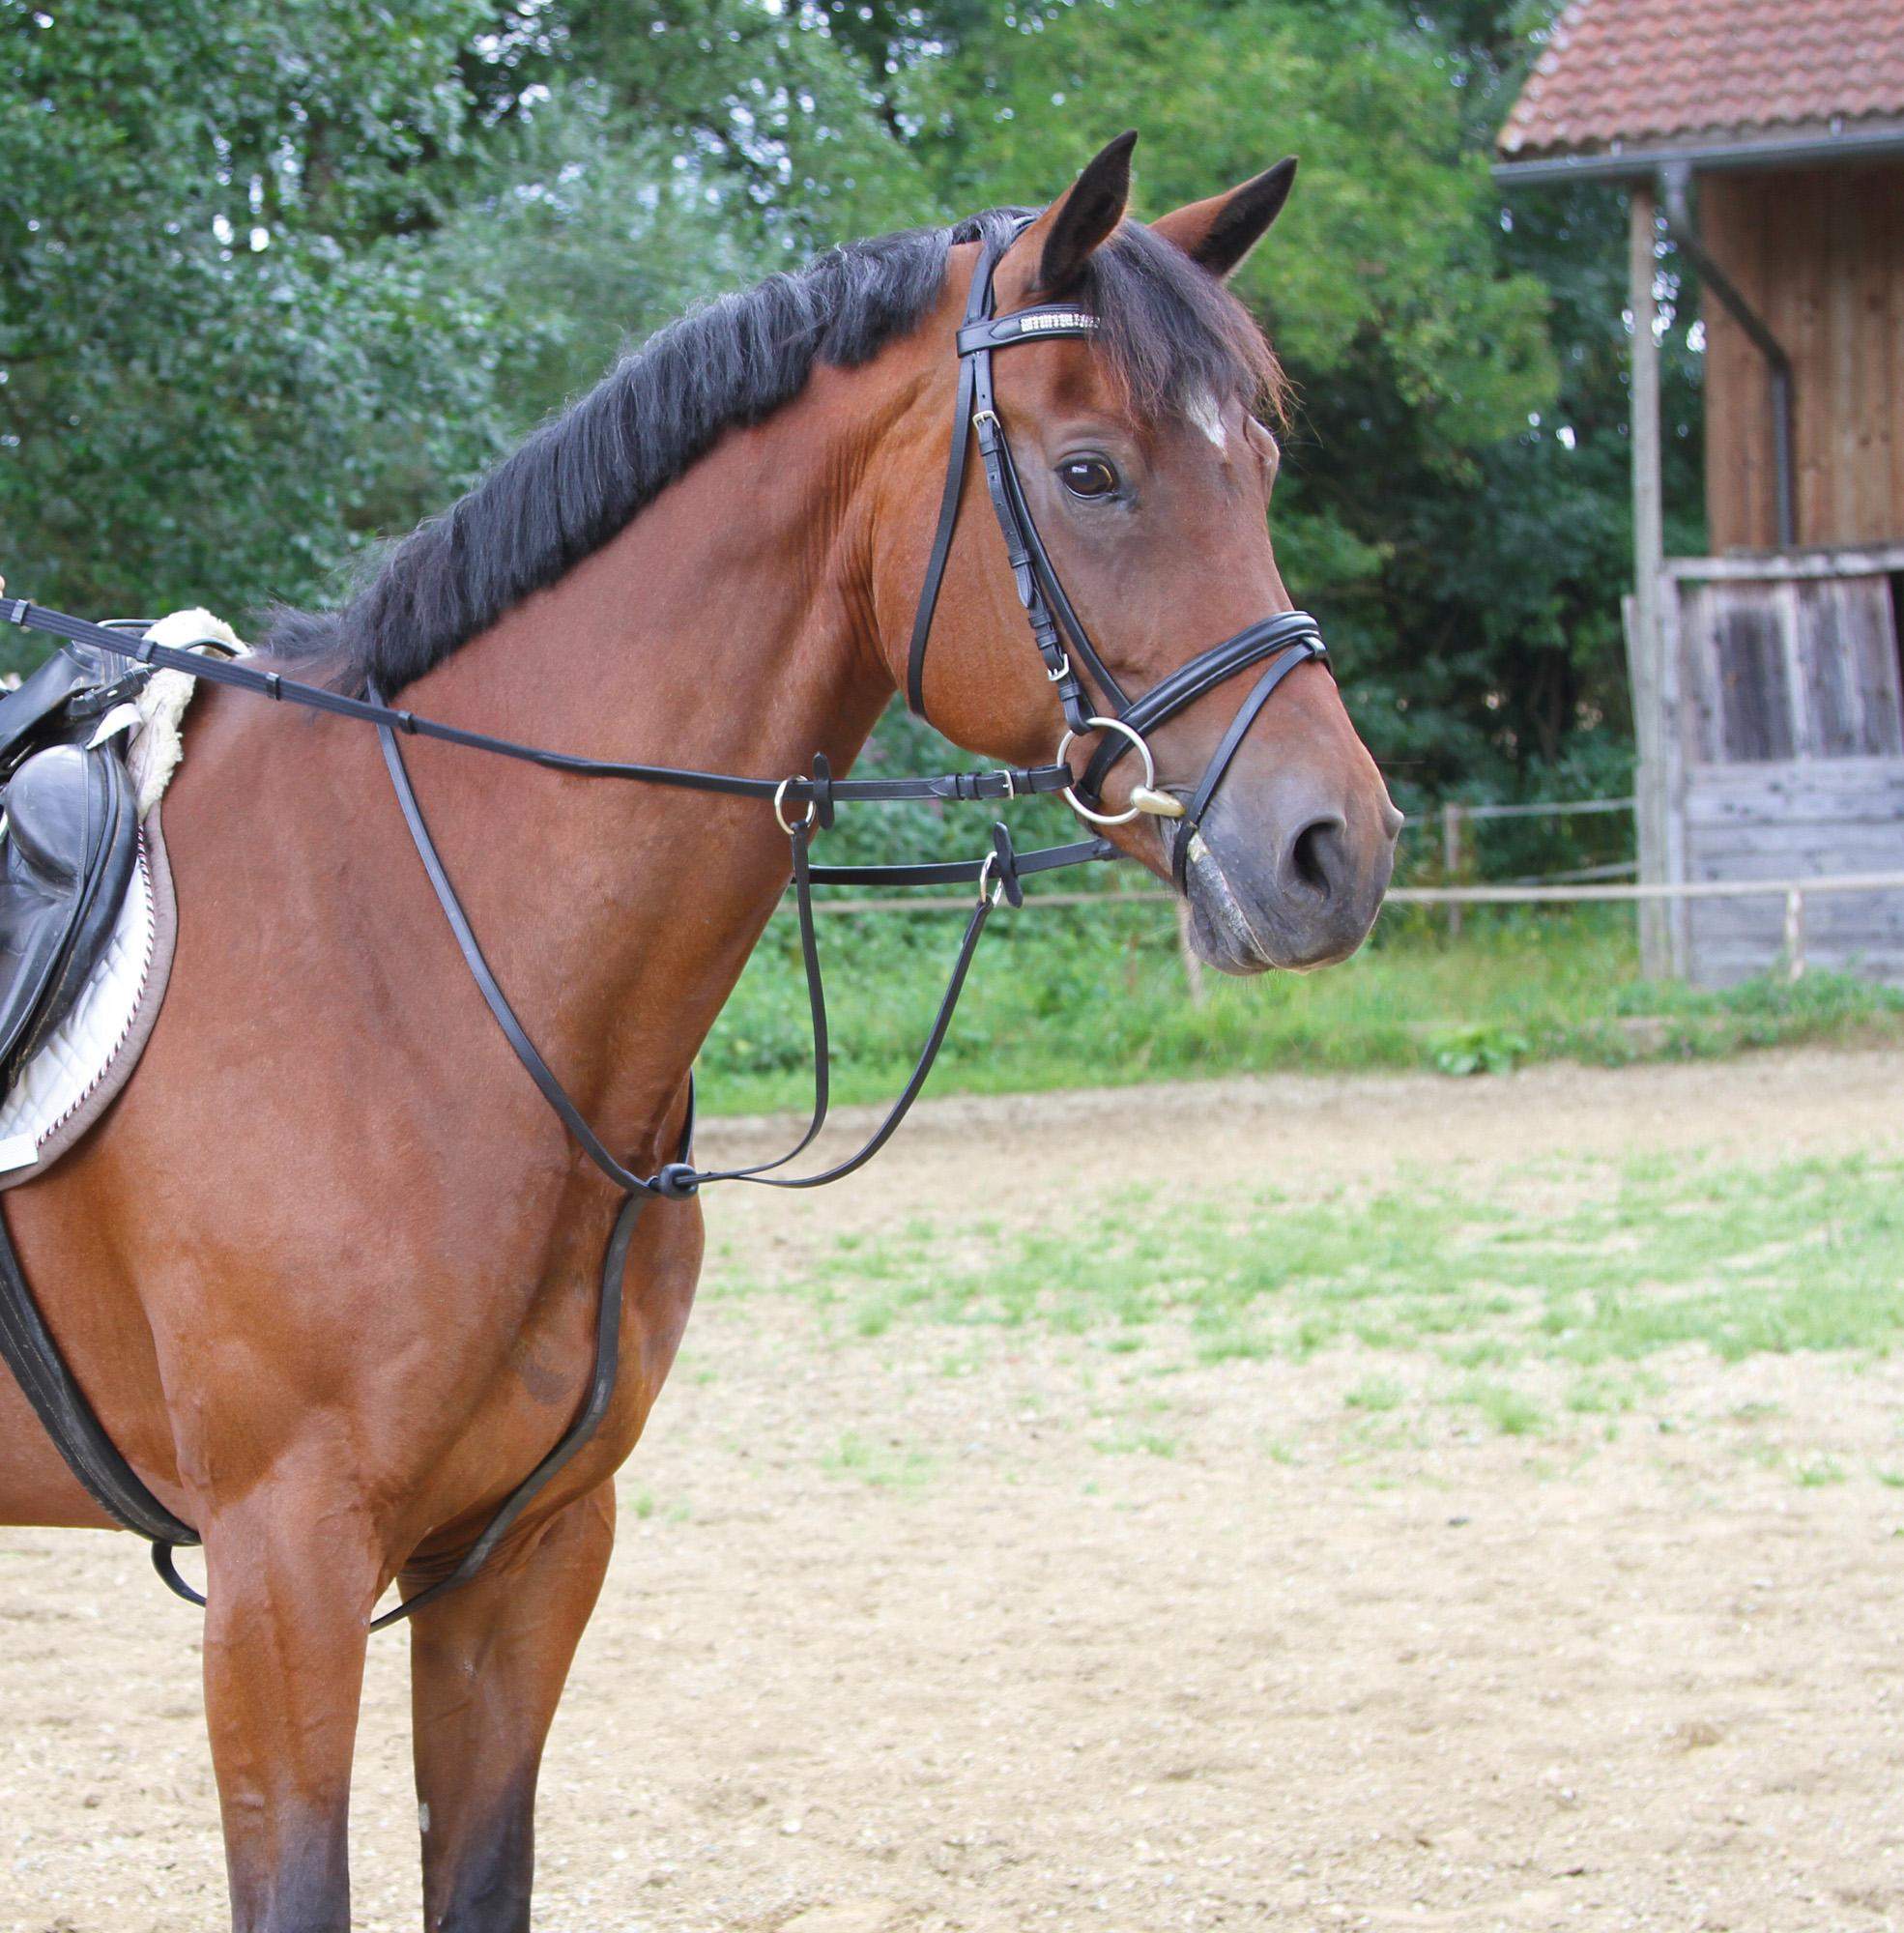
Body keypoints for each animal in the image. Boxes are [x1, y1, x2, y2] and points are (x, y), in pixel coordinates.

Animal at [0, 133, 1400, 1930]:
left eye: (1263, 464)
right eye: (1092, 473)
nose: (1334, 850)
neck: (403, 948)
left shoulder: (523, 1555)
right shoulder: (281, 1571)